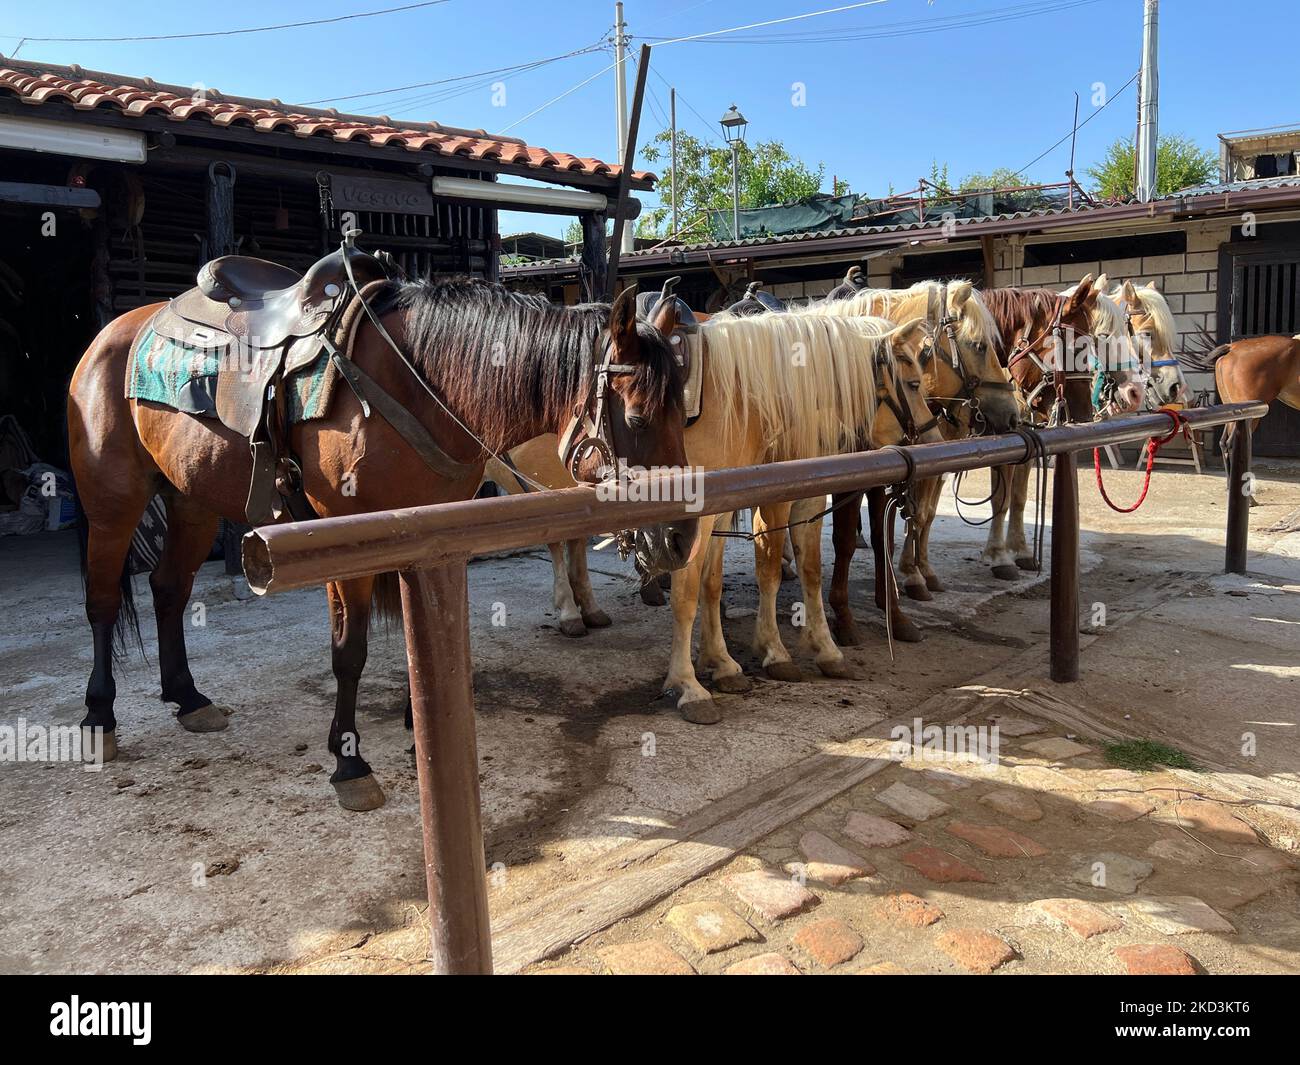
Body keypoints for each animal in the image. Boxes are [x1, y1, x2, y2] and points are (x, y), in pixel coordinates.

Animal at [67, 276, 696, 811]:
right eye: (637, 418)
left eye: (684, 414)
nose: (681, 537)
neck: (415, 388)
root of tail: (115, 333)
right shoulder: (343, 544)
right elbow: (350, 653)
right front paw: (350, 764)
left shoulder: (434, 538)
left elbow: (426, 637)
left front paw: (424, 735)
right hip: (112, 502)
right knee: (102, 601)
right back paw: (100, 716)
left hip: (190, 499)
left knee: (169, 588)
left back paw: (188, 697)